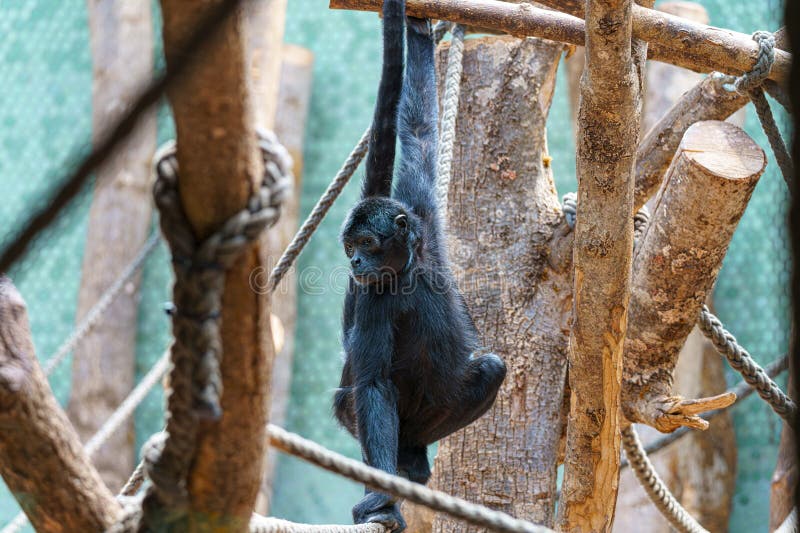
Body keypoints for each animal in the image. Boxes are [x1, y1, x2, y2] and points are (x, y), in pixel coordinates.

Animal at [332, 2, 507, 530]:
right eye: (350, 247)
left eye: (367, 242)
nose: (356, 260)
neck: (409, 270)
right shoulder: (371, 292)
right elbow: (372, 386)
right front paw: (382, 499)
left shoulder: (423, 215)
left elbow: (418, 130)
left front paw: (418, 28)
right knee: (358, 398)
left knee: (490, 367)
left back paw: (411, 459)